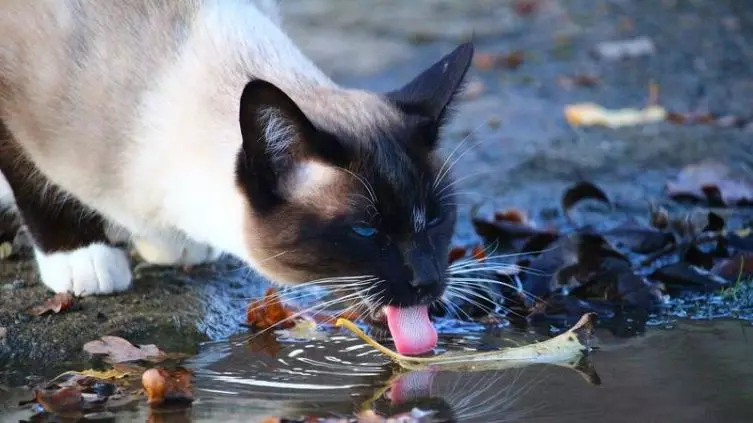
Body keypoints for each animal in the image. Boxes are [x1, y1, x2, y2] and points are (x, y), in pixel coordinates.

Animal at [0, 0, 470, 356]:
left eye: (435, 219)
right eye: (366, 231)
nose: (428, 281)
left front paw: (169, 244)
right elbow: (35, 180)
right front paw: (82, 259)